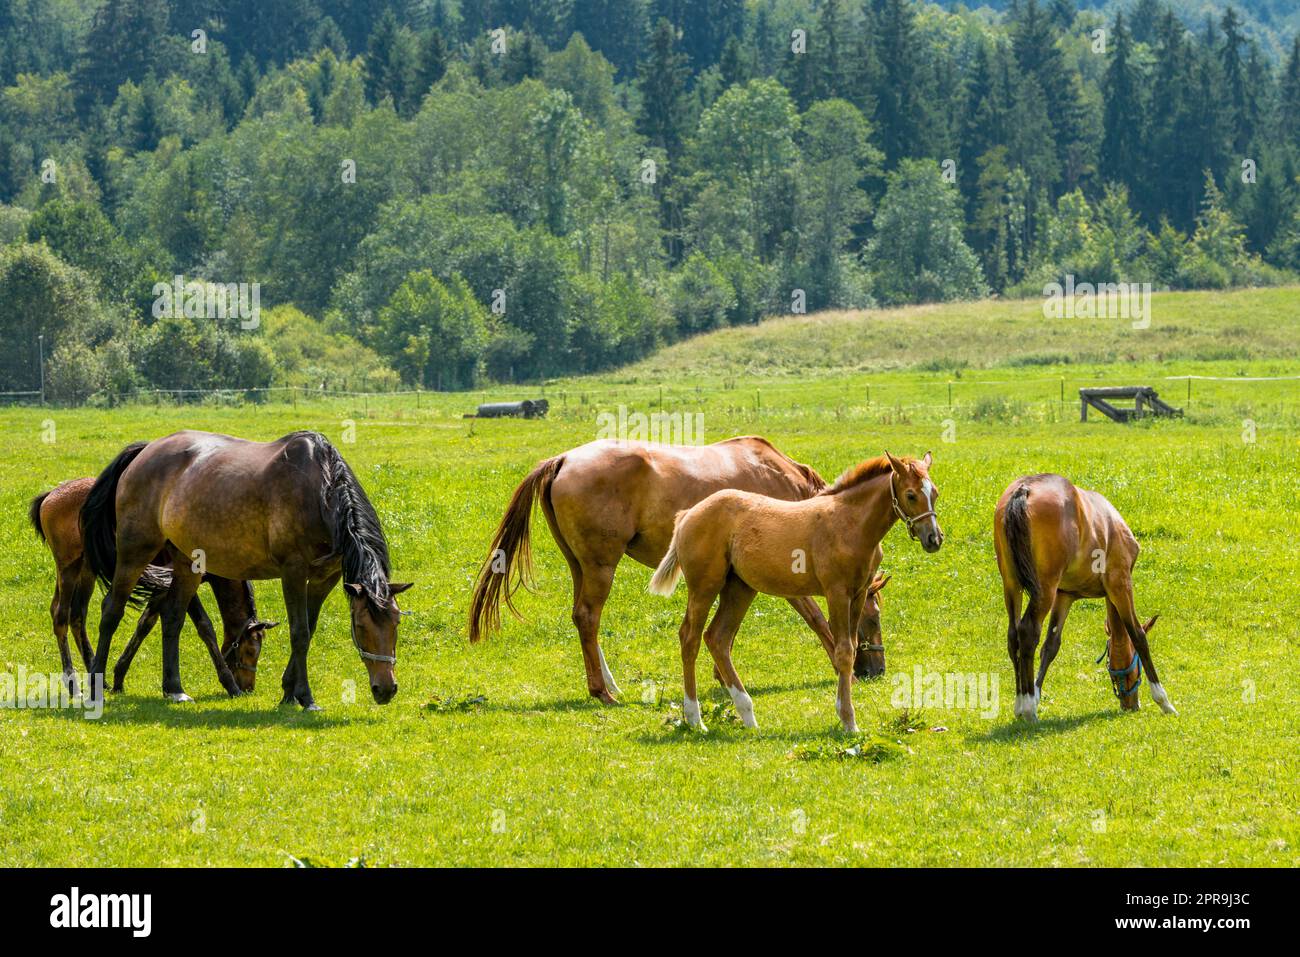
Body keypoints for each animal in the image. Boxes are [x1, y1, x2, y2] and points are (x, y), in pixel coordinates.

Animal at [29, 479, 275, 697]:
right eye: (251, 650)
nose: (249, 687)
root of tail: (51, 495)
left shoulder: (164, 586)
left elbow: (146, 623)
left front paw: (118, 676)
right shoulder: (181, 579)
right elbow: (204, 627)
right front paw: (228, 684)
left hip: (87, 569)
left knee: (76, 616)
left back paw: (97, 675)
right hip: (68, 567)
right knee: (61, 616)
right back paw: (73, 683)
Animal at [79, 431, 411, 709]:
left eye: (396, 623)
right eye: (361, 626)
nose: (386, 689)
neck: (320, 493)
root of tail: (145, 450)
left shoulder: (324, 578)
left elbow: (310, 629)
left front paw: (288, 692)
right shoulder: (293, 571)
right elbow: (300, 632)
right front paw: (305, 697)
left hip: (187, 563)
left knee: (172, 617)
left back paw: (174, 689)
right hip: (135, 551)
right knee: (112, 610)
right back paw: (97, 685)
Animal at [469, 436, 895, 705]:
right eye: (874, 619)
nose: (877, 669)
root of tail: (564, 460)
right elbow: (817, 620)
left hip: (580, 566)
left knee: (581, 619)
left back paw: (607, 683)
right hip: (601, 567)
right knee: (589, 617)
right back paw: (601, 692)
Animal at [649, 452, 942, 733]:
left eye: (935, 493)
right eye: (911, 495)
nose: (934, 539)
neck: (850, 523)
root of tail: (688, 514)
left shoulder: (858, 595)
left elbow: (851, 647)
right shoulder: (837, 593)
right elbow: (843, 652)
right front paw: (849, 721)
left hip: (740, 588)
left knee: (717, 638)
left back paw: (748, 717)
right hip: (704, 587)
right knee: (690, 638)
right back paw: (695, 719)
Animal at [993, 473, 1176, 721]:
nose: (1131, 705)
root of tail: (1024, 489)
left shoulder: (1065, 595)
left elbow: (1051, 646)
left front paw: (1037, 692)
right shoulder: (1120, 584)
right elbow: (1138, 635)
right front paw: (1163, 700)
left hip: (1012, 585)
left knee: (1013, 636)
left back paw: (1021, 703)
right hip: (1044, 589)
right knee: (1028, 632)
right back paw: (1027, 708)